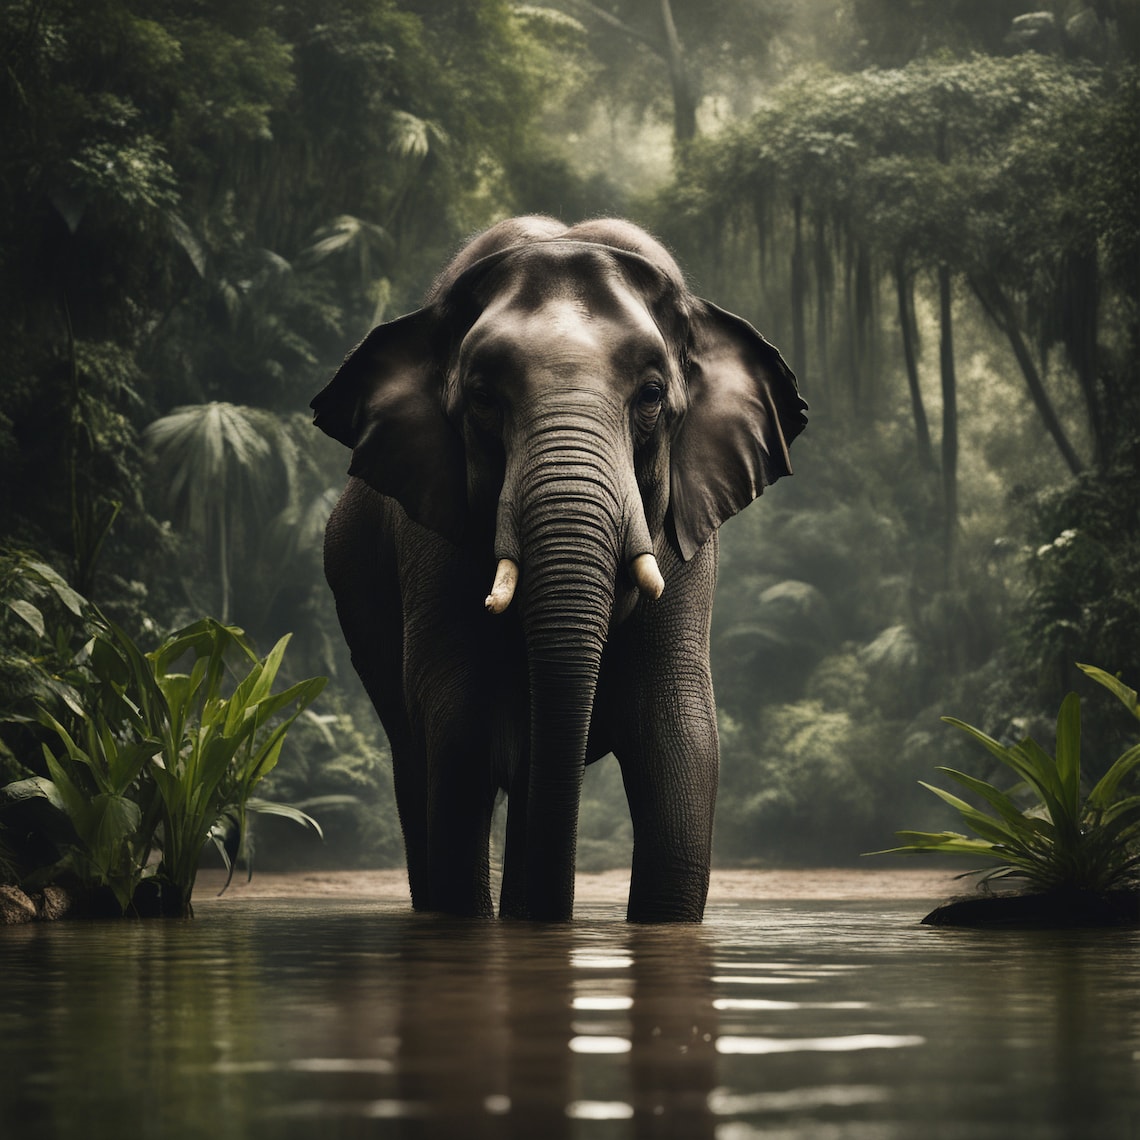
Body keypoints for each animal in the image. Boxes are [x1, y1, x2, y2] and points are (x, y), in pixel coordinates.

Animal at [312, 216, 806, 923]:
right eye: (483, 398)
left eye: (652, 394)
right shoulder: (428, 528)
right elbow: (459, 723)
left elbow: (678, 734)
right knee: (419, 756)